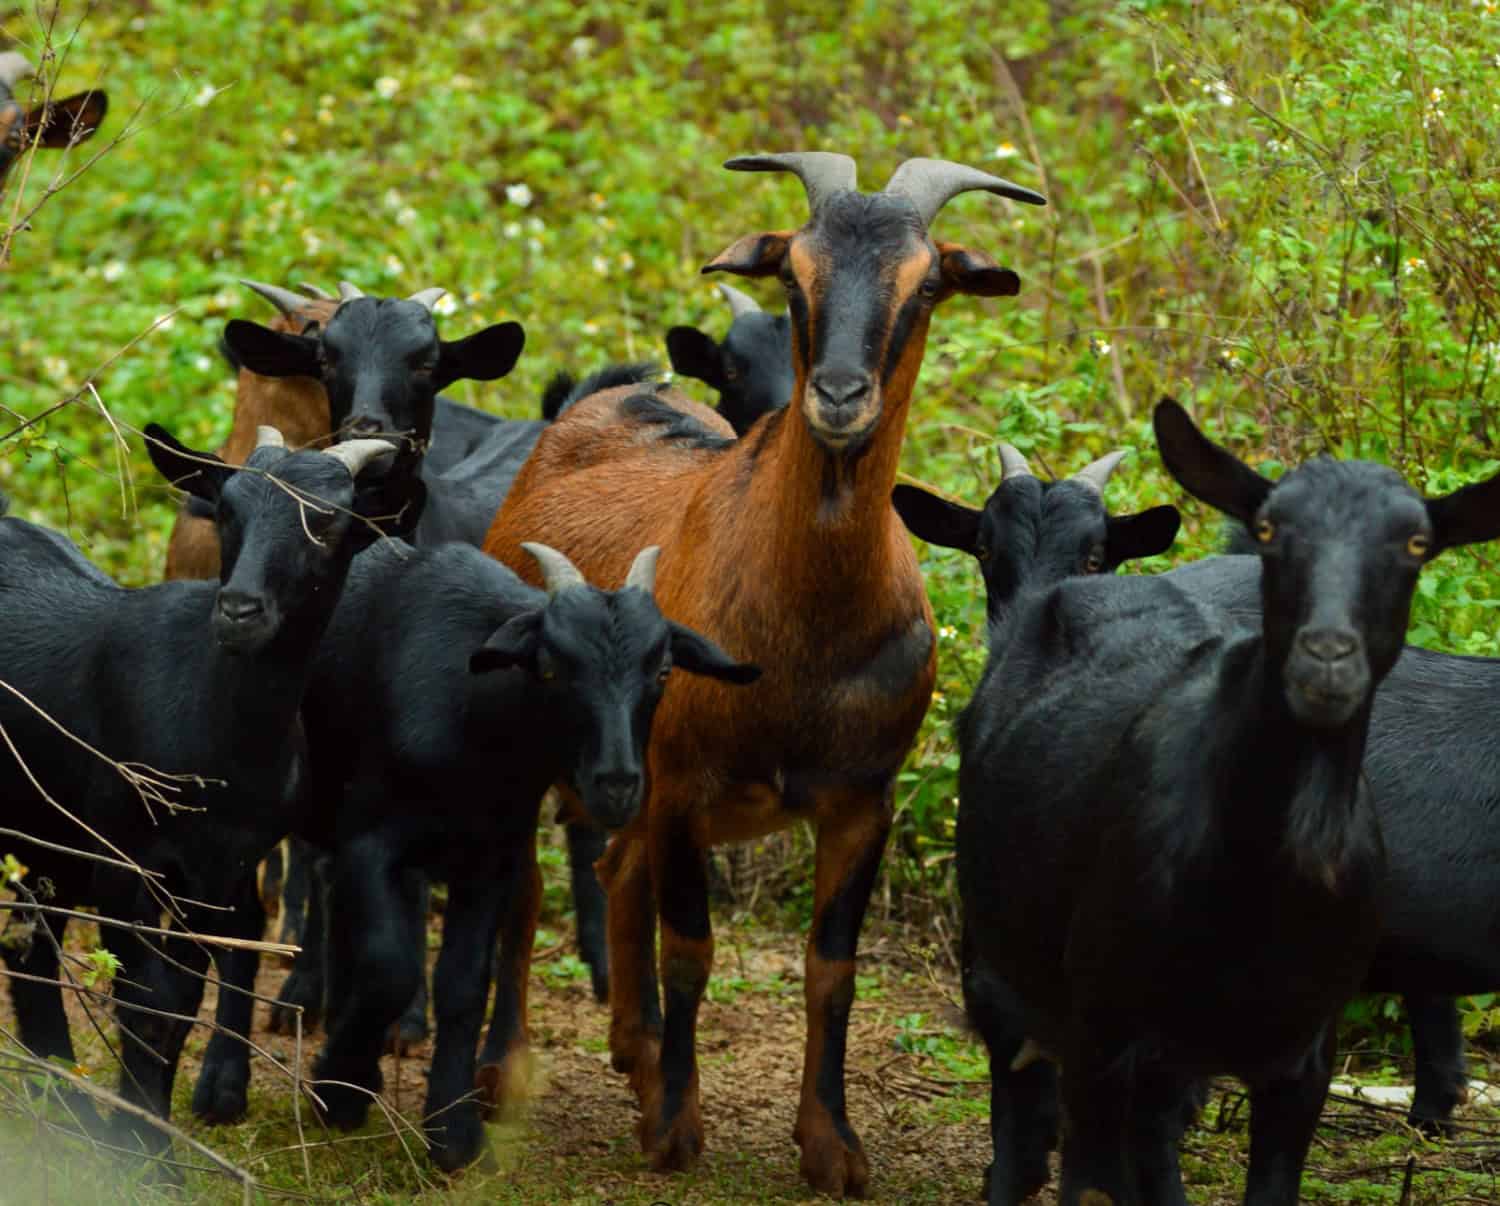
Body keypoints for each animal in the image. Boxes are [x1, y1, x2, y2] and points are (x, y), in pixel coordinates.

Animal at [0, 425, 400, 1155]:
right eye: (227, 510)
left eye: (330, 522)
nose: (240, 609)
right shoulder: (124, 860)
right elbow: (148, 1003)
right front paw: (145, 1153)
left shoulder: (216, 872)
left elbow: (181, 1003)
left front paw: (139, 1137)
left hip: (47, 830)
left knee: (31, 944)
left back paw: (62, 1096)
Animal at [292, 541, 757, 1171]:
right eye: (553, 667)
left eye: (661, 671)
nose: (616, 784)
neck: (470, 717)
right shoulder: (369, 838)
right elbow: (389, 966)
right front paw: (336, 1094)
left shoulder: (489, 854)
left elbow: (464, 983)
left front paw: (454, 1135)